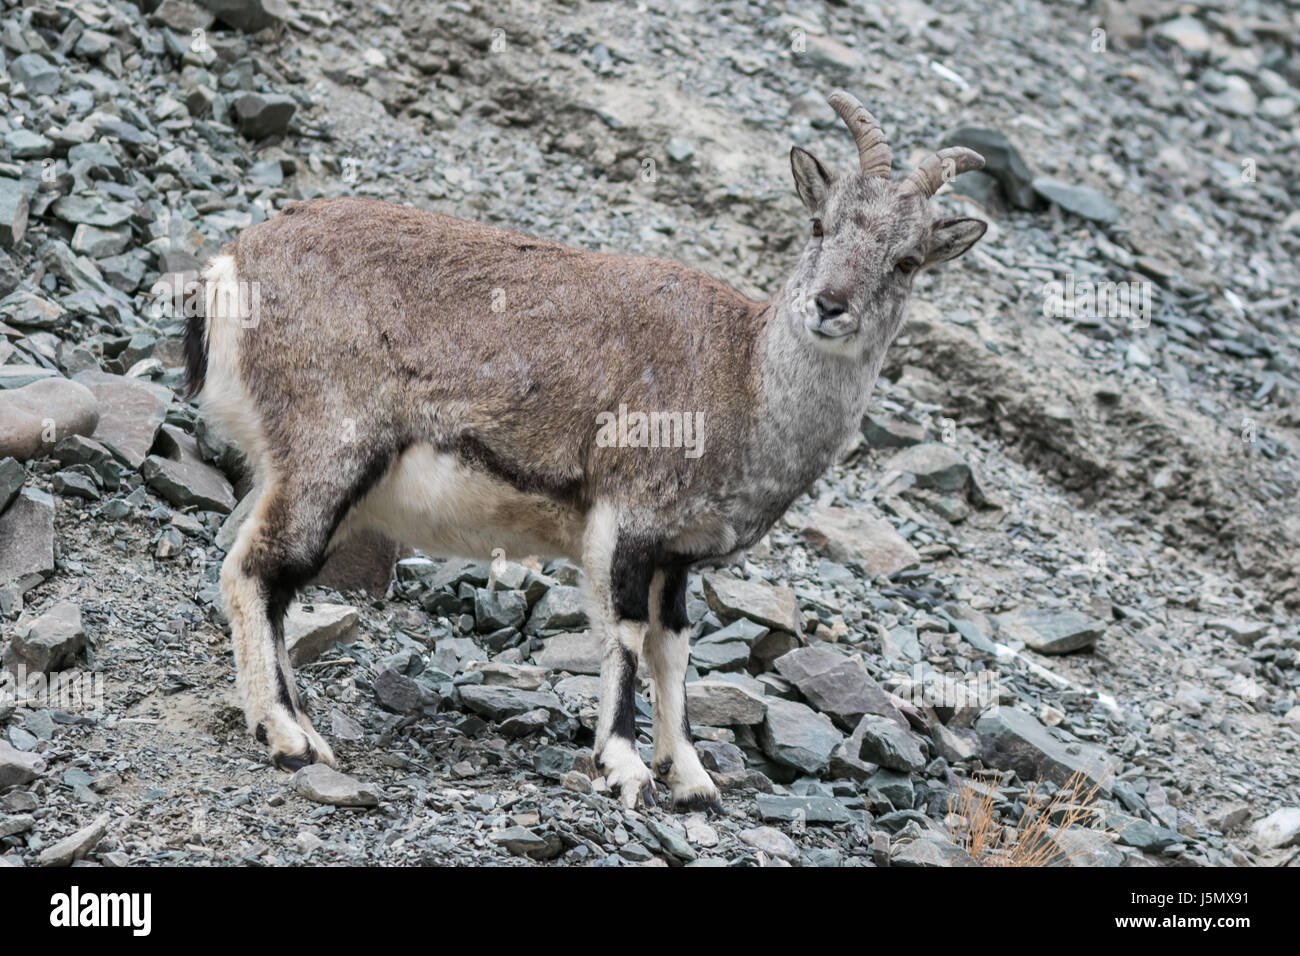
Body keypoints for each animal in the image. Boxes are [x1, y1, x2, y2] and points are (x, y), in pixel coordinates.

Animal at [185, 89, 987, 812]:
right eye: (820, 224)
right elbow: (625, 636)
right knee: (256, 570)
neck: (742, 378)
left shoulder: (676, 554)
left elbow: (673, 647)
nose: (829, 306)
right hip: (329, 454)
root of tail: (231, 266)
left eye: (908, 260)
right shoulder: (626, 520)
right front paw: (624, 766)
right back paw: (289, 735)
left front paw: (692, 778)